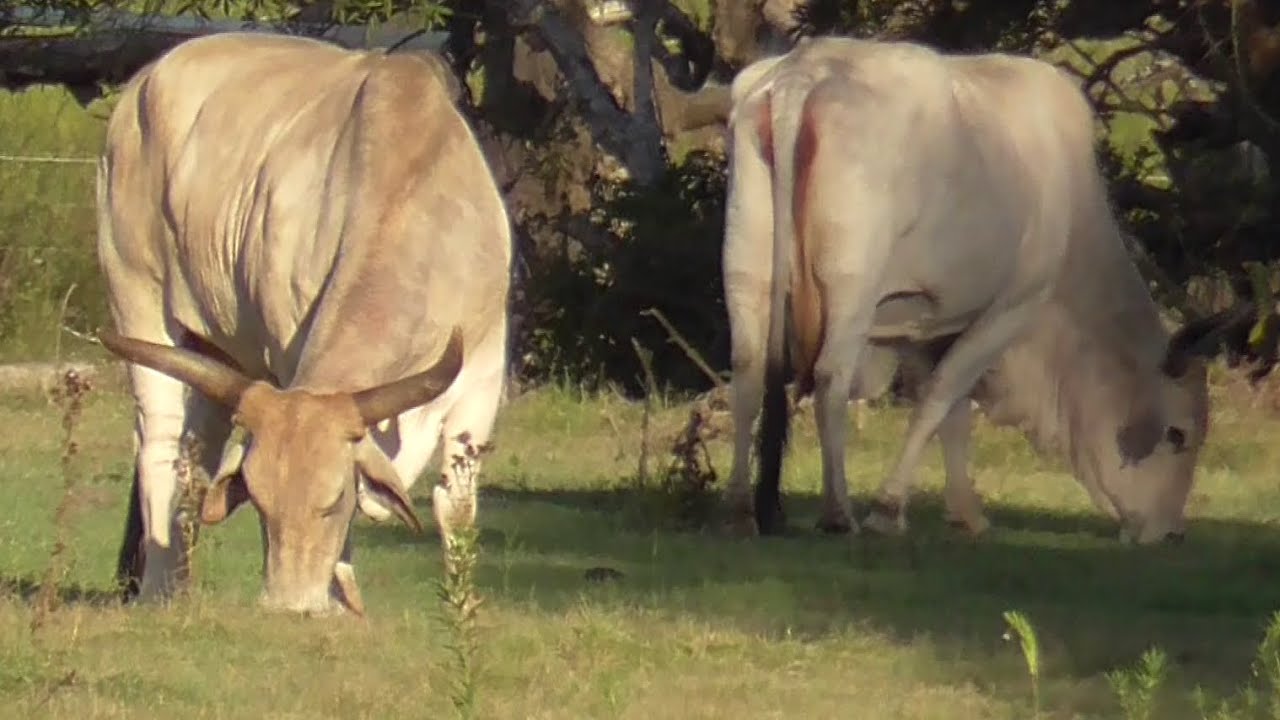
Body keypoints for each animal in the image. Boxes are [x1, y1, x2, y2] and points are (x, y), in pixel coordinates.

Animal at [95, 32, 512, 616]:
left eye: (334, 500)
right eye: (258, 500)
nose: (285, 606)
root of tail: (146, 79)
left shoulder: (483, 374)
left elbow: (454, 501)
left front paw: (462, 606)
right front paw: (339, 603)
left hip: (213, 347)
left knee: (194, 457)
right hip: (138, 298)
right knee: (160, 442)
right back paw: (159, 590)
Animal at [721, 36, 1211, 545]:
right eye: (1178, 435)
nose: (1171, 532)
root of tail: (804, 72)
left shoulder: (925, 322)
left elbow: (951, 413)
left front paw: (962, 512)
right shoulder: (1011, 309)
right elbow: (941, 396)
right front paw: (887, 508)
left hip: (747, 266)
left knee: (748, 373)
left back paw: (740, 511)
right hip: (851, 287)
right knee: (831, 378)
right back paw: (838, 513)